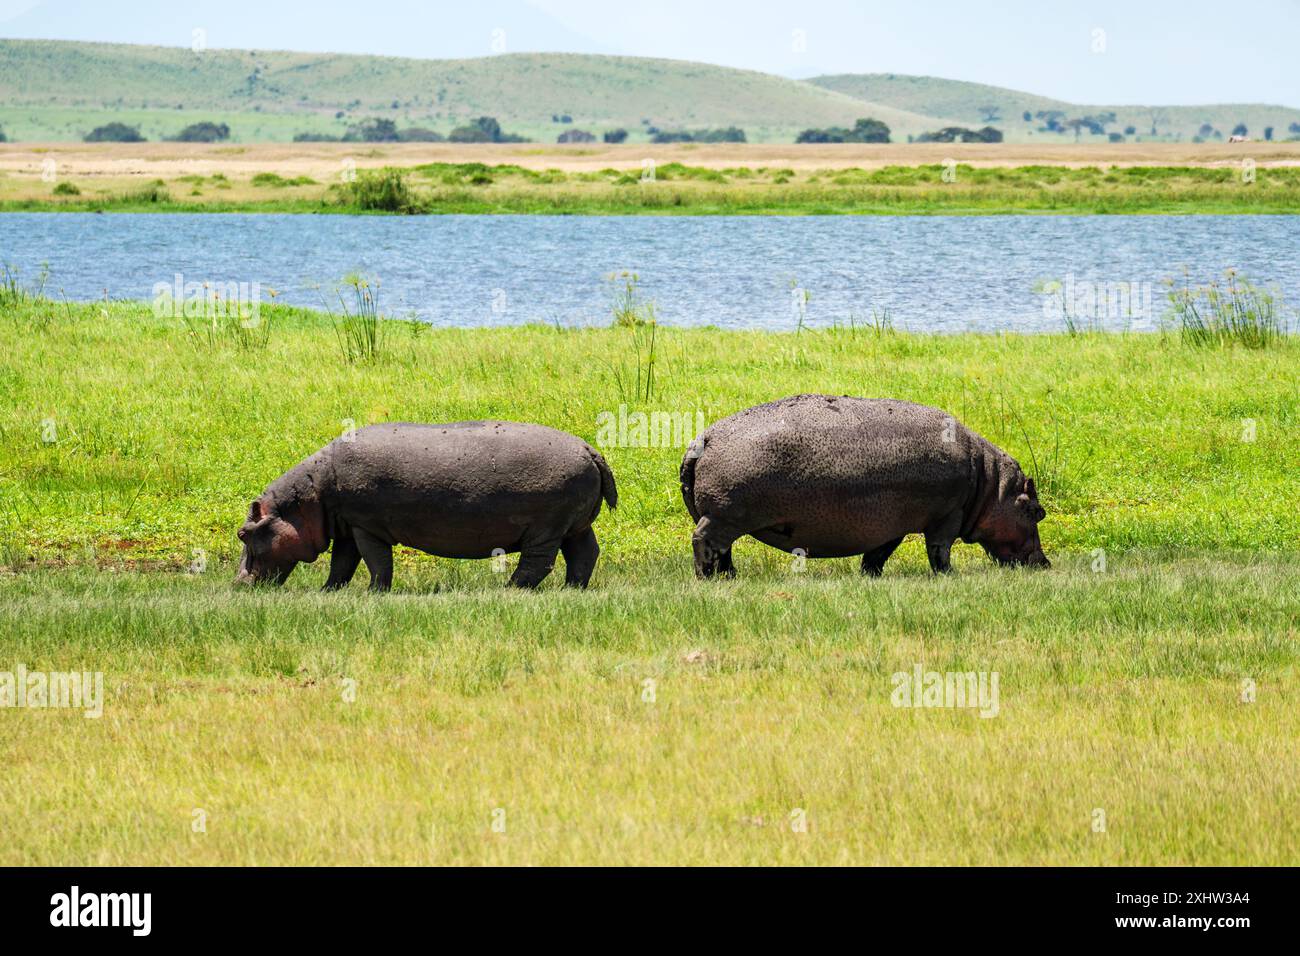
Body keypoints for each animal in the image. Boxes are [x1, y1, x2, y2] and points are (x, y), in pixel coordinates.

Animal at [235, 421, 617, 591]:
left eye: (243, 533)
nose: (237, 583)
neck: (311, 494)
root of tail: (591, 450)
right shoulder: (347, 528)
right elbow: (342, 564)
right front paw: (328, 592)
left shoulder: (366, 527)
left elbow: (375, 562)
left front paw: (374, 593)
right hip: (575, 525)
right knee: (584, 554)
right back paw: (573, 589)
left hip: (545, 528)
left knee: (538, 563)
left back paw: (509, 589)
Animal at [679, 395, 1048, 578]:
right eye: (1036, 511)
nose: (1045, 563)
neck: (992, 486)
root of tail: (704, 438)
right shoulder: (948, 517)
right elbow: (939, 550)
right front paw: (949, 576)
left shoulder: (893, 525)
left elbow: (878, 553)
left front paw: (871, 576)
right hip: (724, 516)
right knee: (704, 541)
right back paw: (708, 577)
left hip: (726, 519)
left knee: (723, 549)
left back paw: (730, 577)